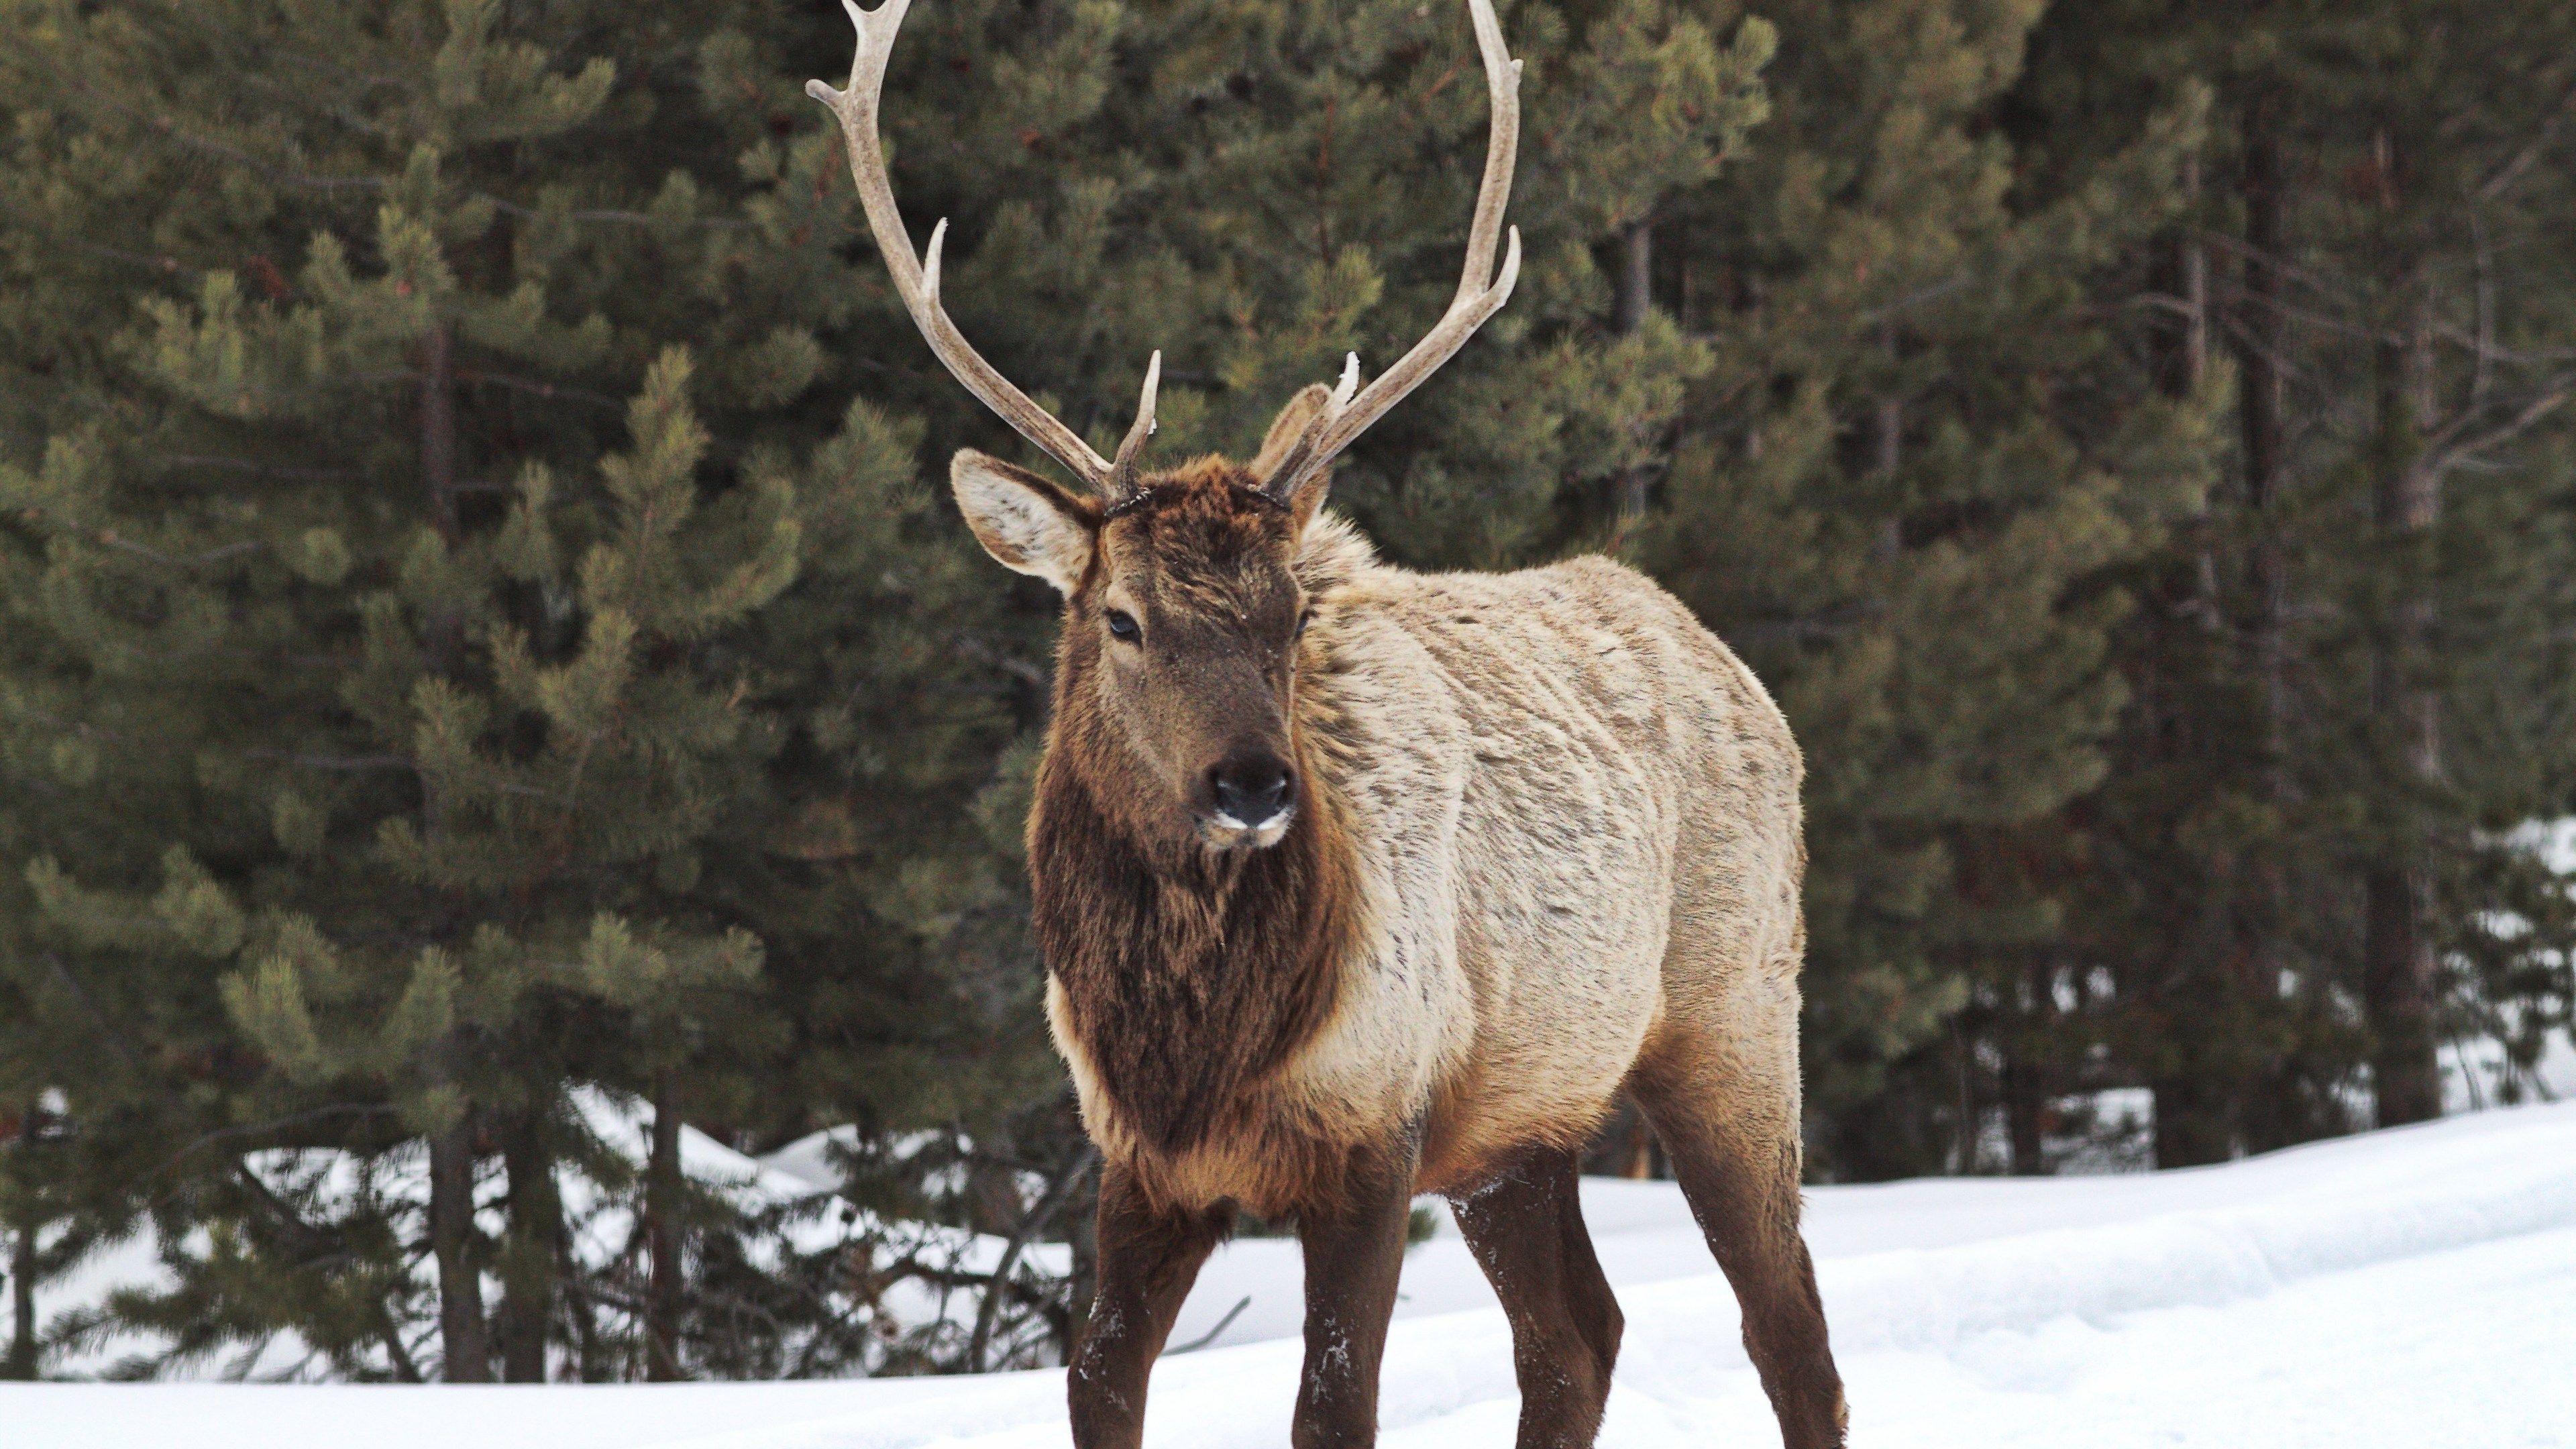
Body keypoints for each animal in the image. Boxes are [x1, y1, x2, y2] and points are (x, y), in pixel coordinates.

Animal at [808, 0, 1846, 1443]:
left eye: (1294, 615)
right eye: (1119, 617)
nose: (1251, 786)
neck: (1201, 1038)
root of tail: (1738, 669)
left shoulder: (1371, 1128)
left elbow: (1332, 1405)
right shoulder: (1143, 1158)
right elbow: (1096, 1381)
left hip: (1731, 1020)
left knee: (1789, 1333)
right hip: (1520, 1126)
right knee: (1578, 1334)